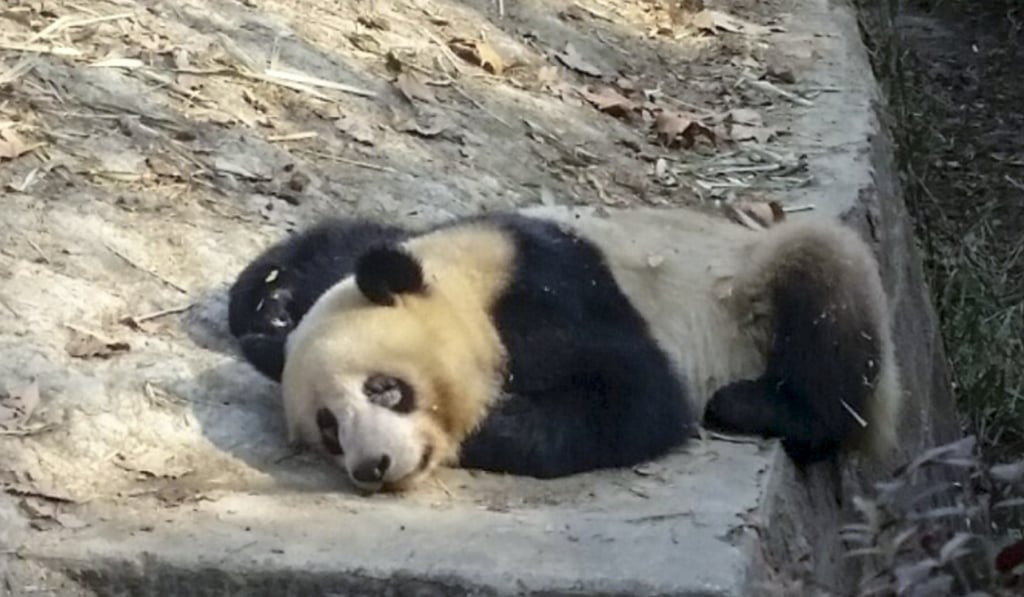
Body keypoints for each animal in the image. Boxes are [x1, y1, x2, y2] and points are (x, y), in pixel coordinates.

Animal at [227, 205, 902, 494]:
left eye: (384, 389)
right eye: (329, 428)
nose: (372, 465)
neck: (468, 281)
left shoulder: (555, 290)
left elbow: (636, 399)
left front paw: (486, 427)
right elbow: (348, 244)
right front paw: (269, 306)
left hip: (755, 281)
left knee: (824, 277)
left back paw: (760, 405)